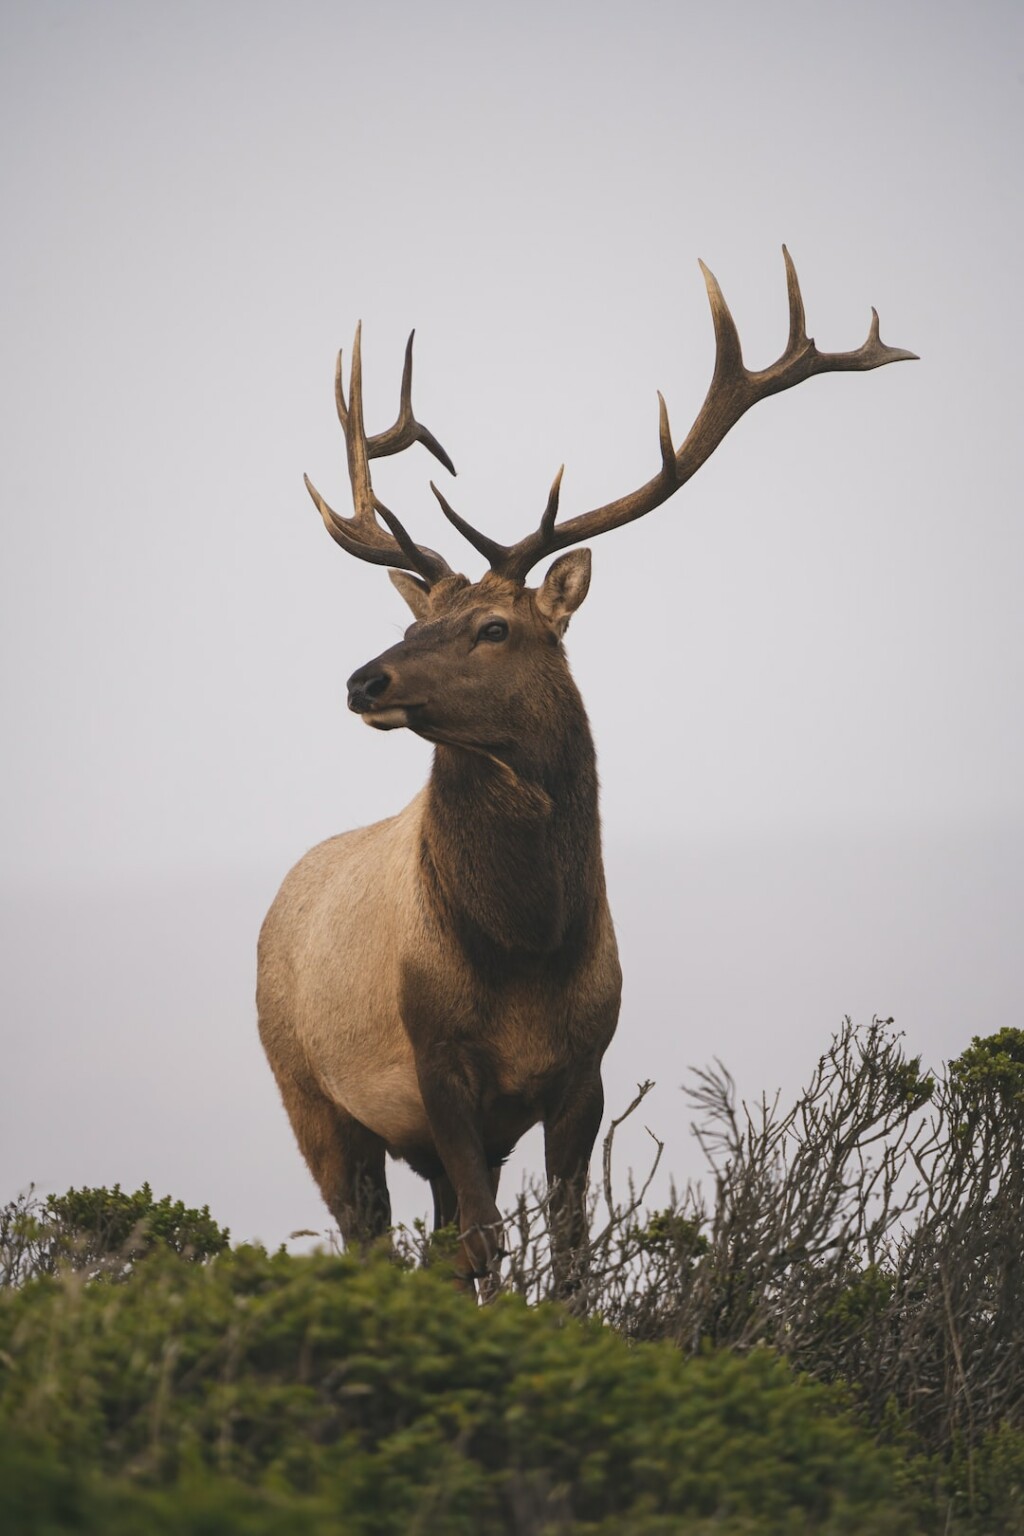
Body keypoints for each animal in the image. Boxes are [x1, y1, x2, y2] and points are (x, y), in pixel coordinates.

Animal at [257, 248, 916, 1289]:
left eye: (494, 627)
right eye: (415, 620)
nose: (364, 679)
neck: (527, 947)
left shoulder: (585, 1070)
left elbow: (569, 1249)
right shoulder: (435, 1062)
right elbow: (487, 1247)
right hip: (310, 1095)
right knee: (373, 1238)